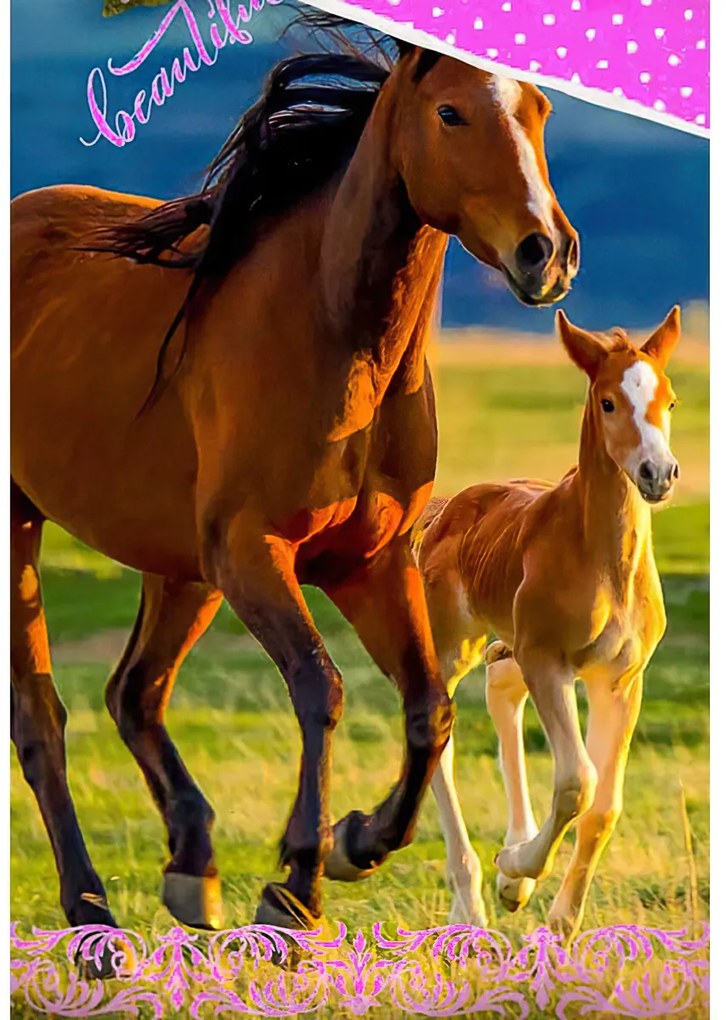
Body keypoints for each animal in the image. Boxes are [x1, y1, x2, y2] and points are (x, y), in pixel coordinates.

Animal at [9, 25, 579, 938]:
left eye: (540, 108)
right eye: (450, 112)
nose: (546, 253)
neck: (334, 339)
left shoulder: (371, 562)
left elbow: (428, 708)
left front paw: (357, 842)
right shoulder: (254, 552)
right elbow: (321, 688)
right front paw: (296, 884)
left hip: (181, 567)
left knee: (135, 693)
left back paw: (191, 868)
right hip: (32, 528)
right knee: (42, 719)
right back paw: (92, 914)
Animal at [413, 306, 681, 934]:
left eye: (670, 400)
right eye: (608, 402)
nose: (658, 473)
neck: (602, 560)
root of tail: (445, 509)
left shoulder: (620, 680)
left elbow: (604, 807)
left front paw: (556, 915)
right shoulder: (548, 661)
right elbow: (577, 781)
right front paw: (515, 867)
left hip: (509, 644)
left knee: (501, 690)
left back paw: (508, 877)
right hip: (454, 645)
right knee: (441, 730)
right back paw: (472, 900)